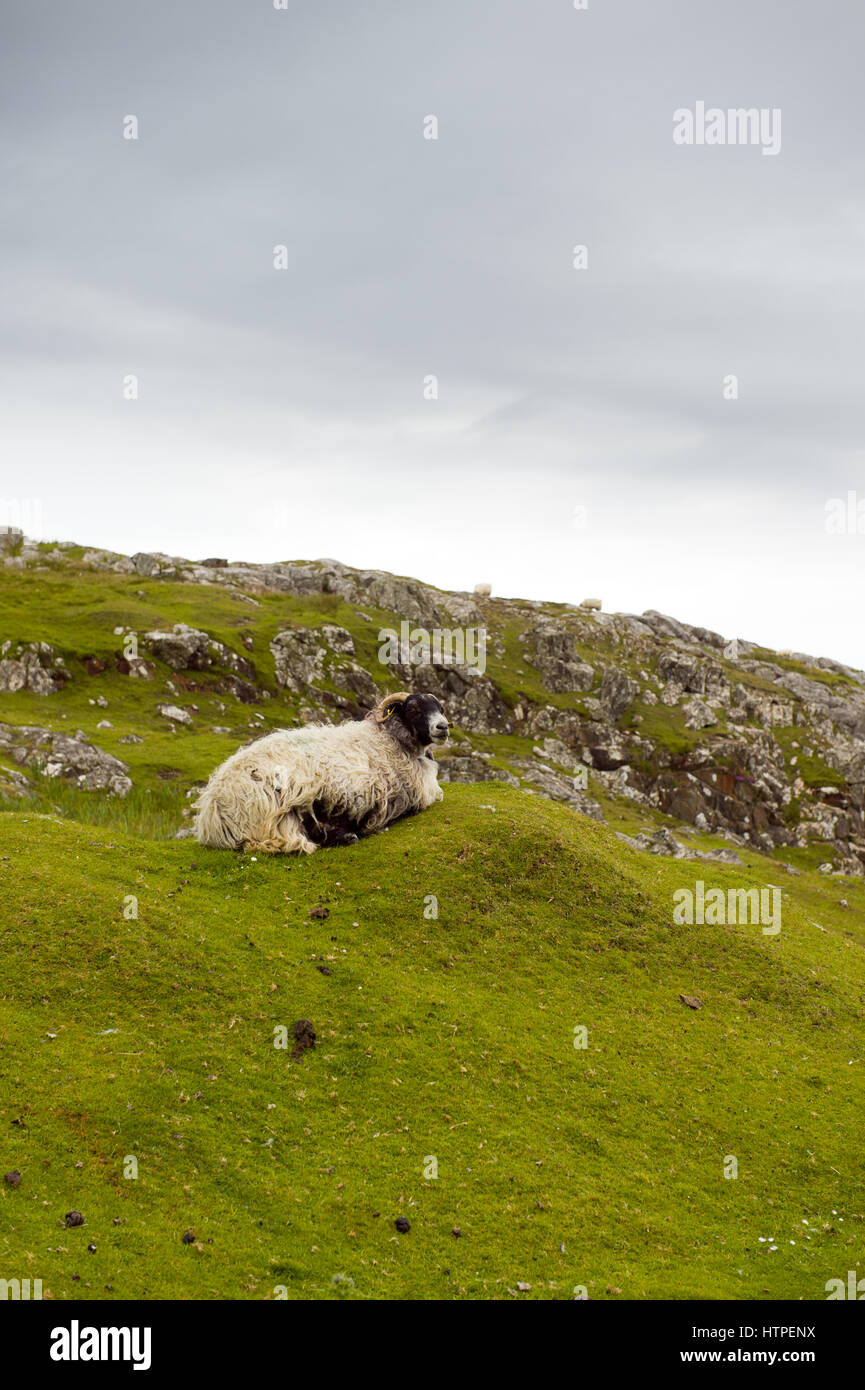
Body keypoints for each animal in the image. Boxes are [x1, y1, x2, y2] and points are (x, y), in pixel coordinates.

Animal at [193, 691, 449, 855]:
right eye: (413, 708)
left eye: (440, 709)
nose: (443, 727)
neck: (392, 741)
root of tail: (212, 812)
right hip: (284, 802)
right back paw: (348, 834)